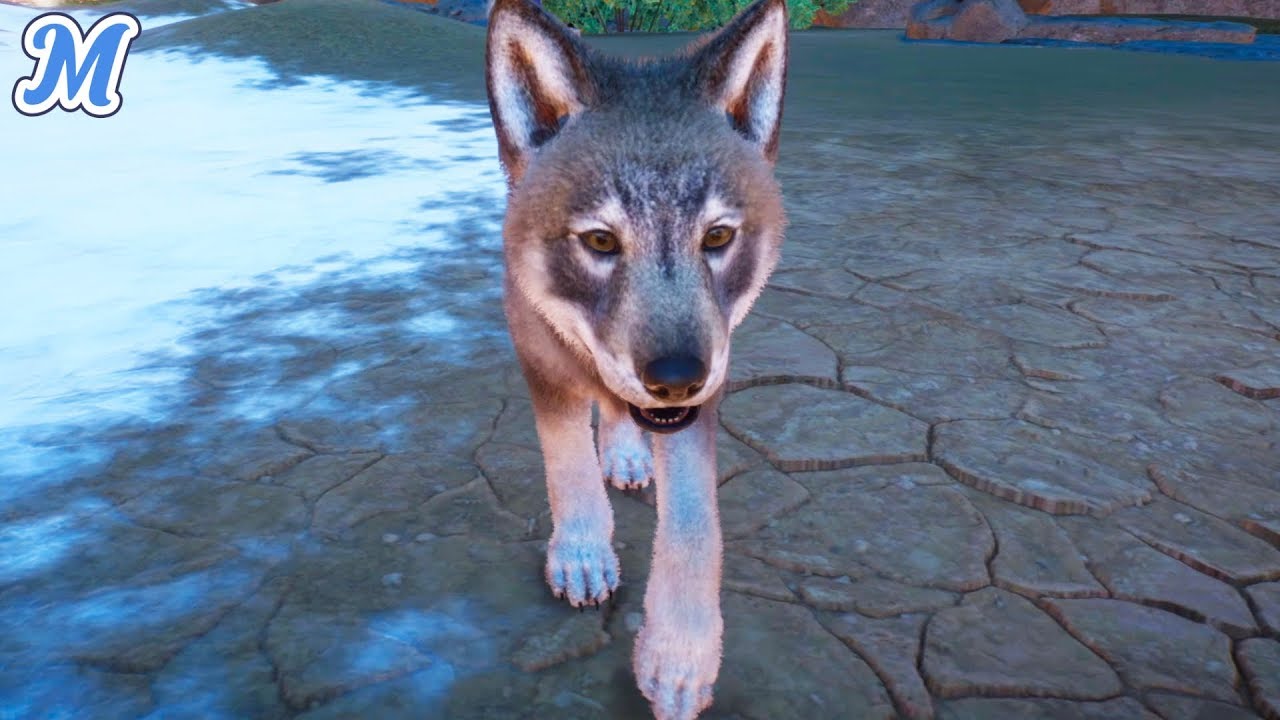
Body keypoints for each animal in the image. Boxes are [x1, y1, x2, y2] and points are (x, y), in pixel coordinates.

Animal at [484, 0, 789, 717]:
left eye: (718, 236)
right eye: (600, 241)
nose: (676, 379)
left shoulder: (709, 384)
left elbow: (694, 526)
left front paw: (679, 657)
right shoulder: (540, 358)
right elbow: (567, 466)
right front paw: (583, 553)